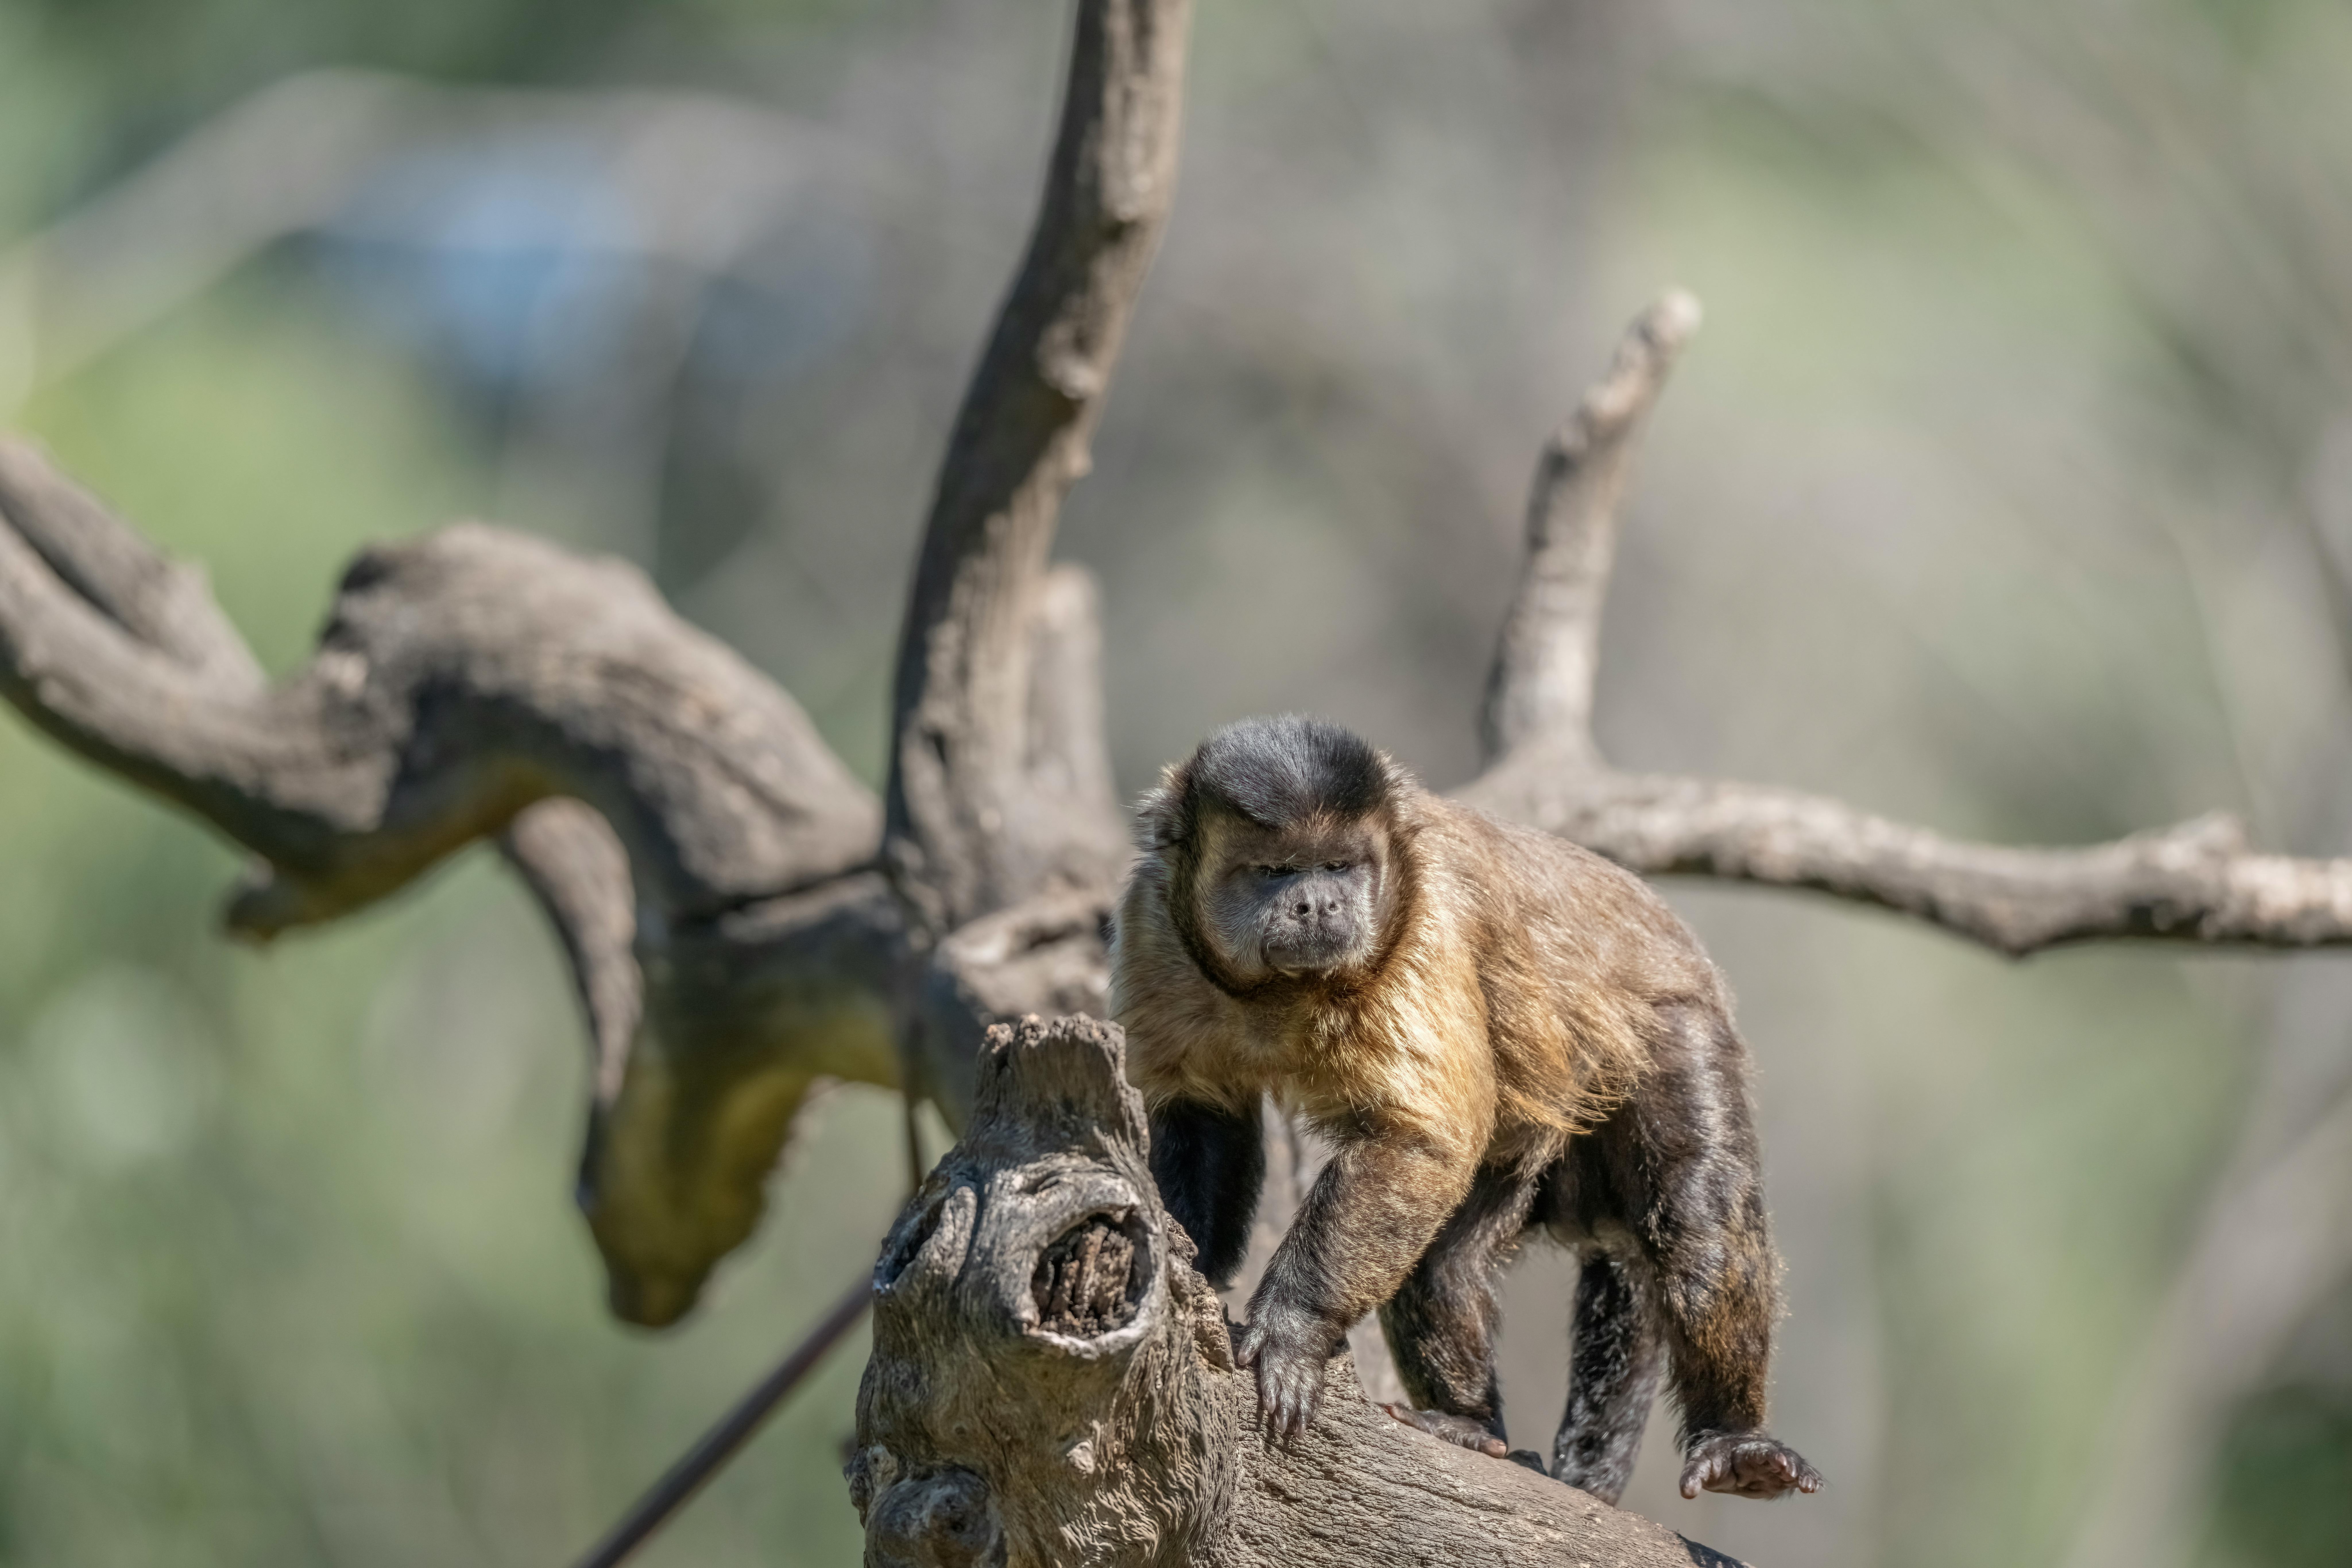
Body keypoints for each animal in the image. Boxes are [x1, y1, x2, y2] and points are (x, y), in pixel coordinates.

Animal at [1108, 714, 1821, 1504]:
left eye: (1337, 868)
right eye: (1275, 872)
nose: (1318, 904)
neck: (1282, 994)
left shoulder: (1424, 928)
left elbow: (1421, 1140)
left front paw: (1293, 1328)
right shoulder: (1153, 924)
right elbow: (1202, 1110)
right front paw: (1178, 1268)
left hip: (1672, 1027)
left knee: (1697, 1217)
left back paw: (1735, 1440)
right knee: (1443, 1259)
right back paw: (1469, 1425)